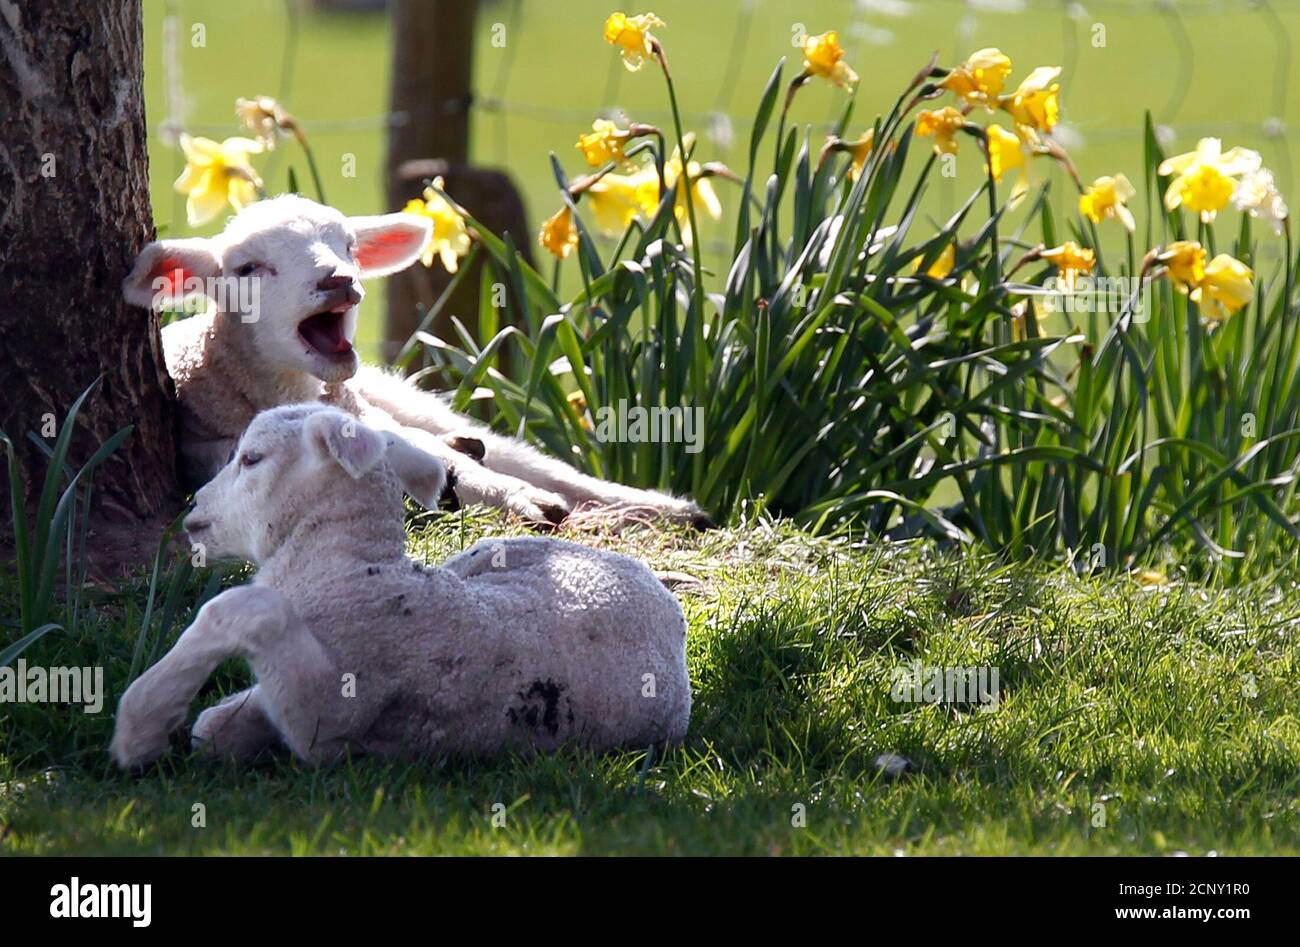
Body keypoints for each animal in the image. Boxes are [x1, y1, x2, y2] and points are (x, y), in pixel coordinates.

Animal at [108, 404, 692, 769]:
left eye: (251, 458)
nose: (194, 509)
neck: (351, 574)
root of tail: (663, 599)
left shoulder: (330, 716)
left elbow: (239, 609)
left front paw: (139, 730)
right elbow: (213, 728)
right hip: (483, 556)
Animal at [121, 194, 709, 527]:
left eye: (349, 246)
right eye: (248, 268)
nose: (339, 280)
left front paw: (517, 496)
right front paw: (519, 501)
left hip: (405, 398)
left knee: (522, 457)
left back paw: (665, 507)